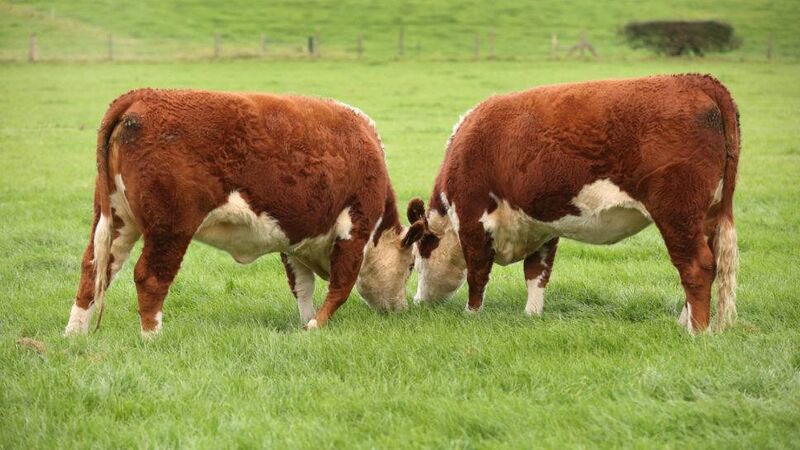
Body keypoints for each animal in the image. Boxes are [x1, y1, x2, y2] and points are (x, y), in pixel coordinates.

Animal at [64, 89, 425, 337]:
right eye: (410, 266)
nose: (400, 309)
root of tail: (142, 95)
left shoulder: (294, 239)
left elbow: (302, 286)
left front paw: (305, 321)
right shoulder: (356, 228)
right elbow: (341, 287)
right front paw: (315, 327)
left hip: (115, 219)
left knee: (95, 268)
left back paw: (75, 334)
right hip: (170, 227)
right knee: (150, 276)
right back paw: (152, 337)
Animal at [407, 74, 740, 333]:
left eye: (415, 261)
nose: (417, 302)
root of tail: (696, 80)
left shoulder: (472, 217)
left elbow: (478, 272)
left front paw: (471, 314)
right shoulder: (541, 224)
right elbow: (536, 272)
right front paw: (531, 314)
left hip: (678, 211)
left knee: (696, 265)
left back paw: (696, 331)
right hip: (707, 214)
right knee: (710, 262)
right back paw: (684, 322)